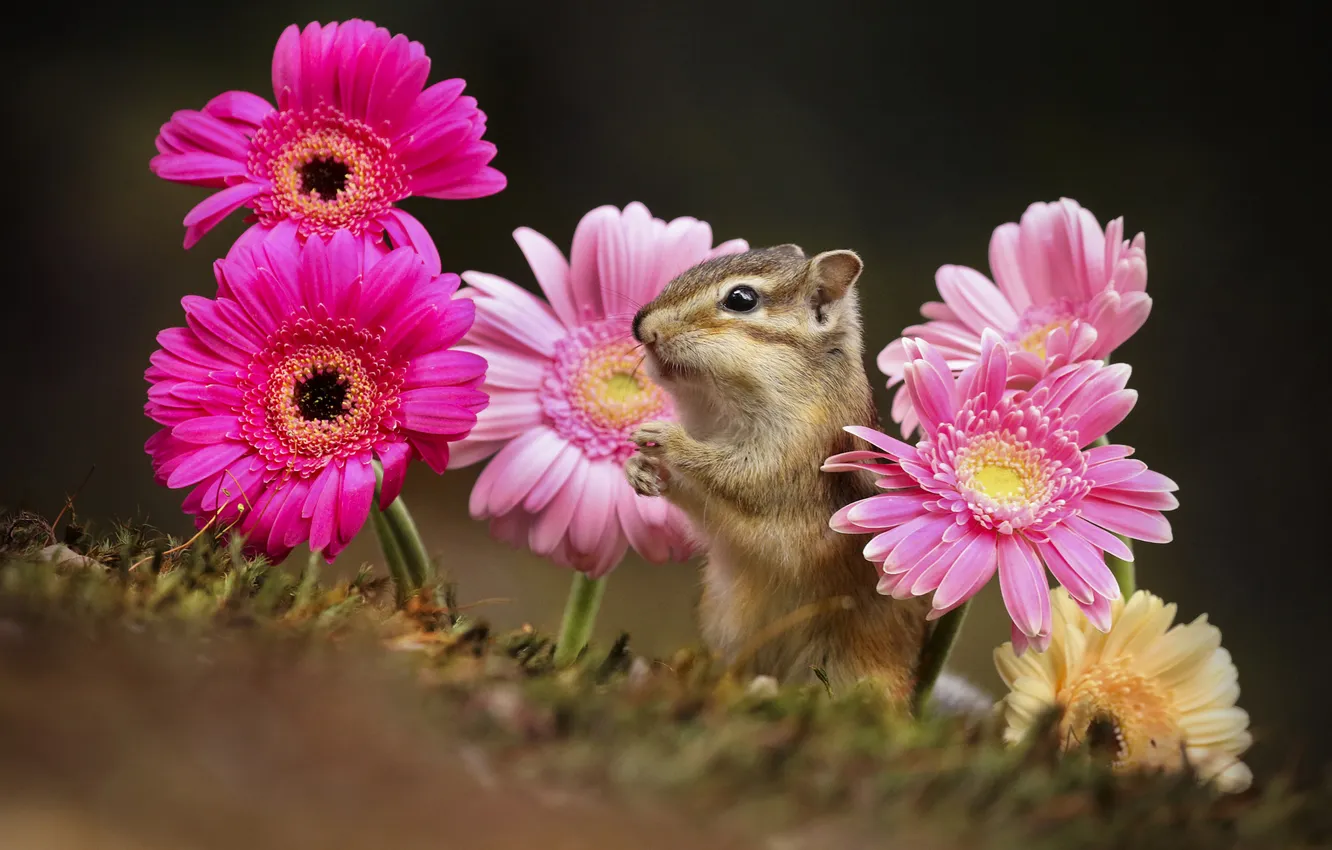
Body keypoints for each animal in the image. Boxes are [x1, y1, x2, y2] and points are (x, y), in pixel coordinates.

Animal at [625, 244, 943, 707]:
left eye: (741, 299)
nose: (641, 326)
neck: (718, 409)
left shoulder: (787, 458)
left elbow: (735, 478)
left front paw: (668, 438)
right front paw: (640, 470)